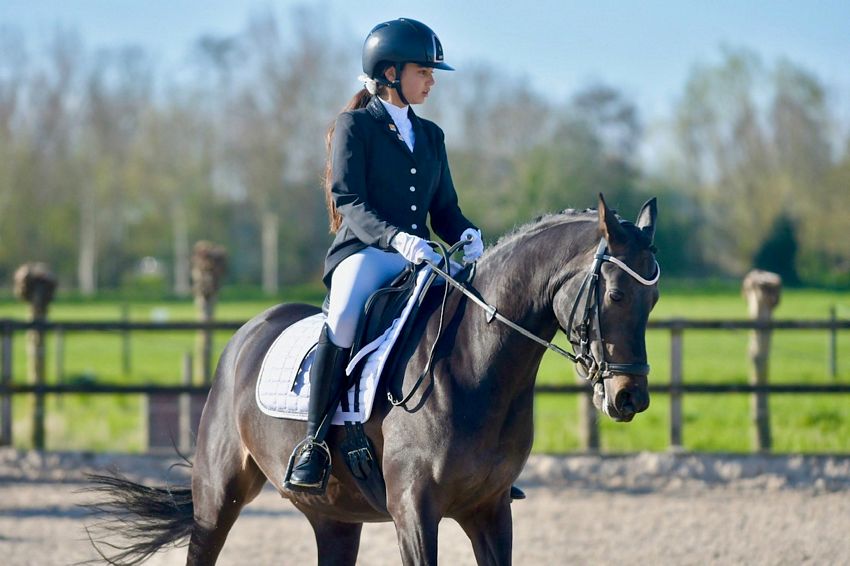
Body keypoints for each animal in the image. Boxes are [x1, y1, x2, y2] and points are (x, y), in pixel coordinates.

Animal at [88, 194, 659, 565]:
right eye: (615, 295)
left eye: (652, 300)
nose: (630, 397)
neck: (474, 365)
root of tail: (247, 332)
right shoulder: (414, 511)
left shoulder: (490, 509)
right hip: (218, 494)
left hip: (335, 518)